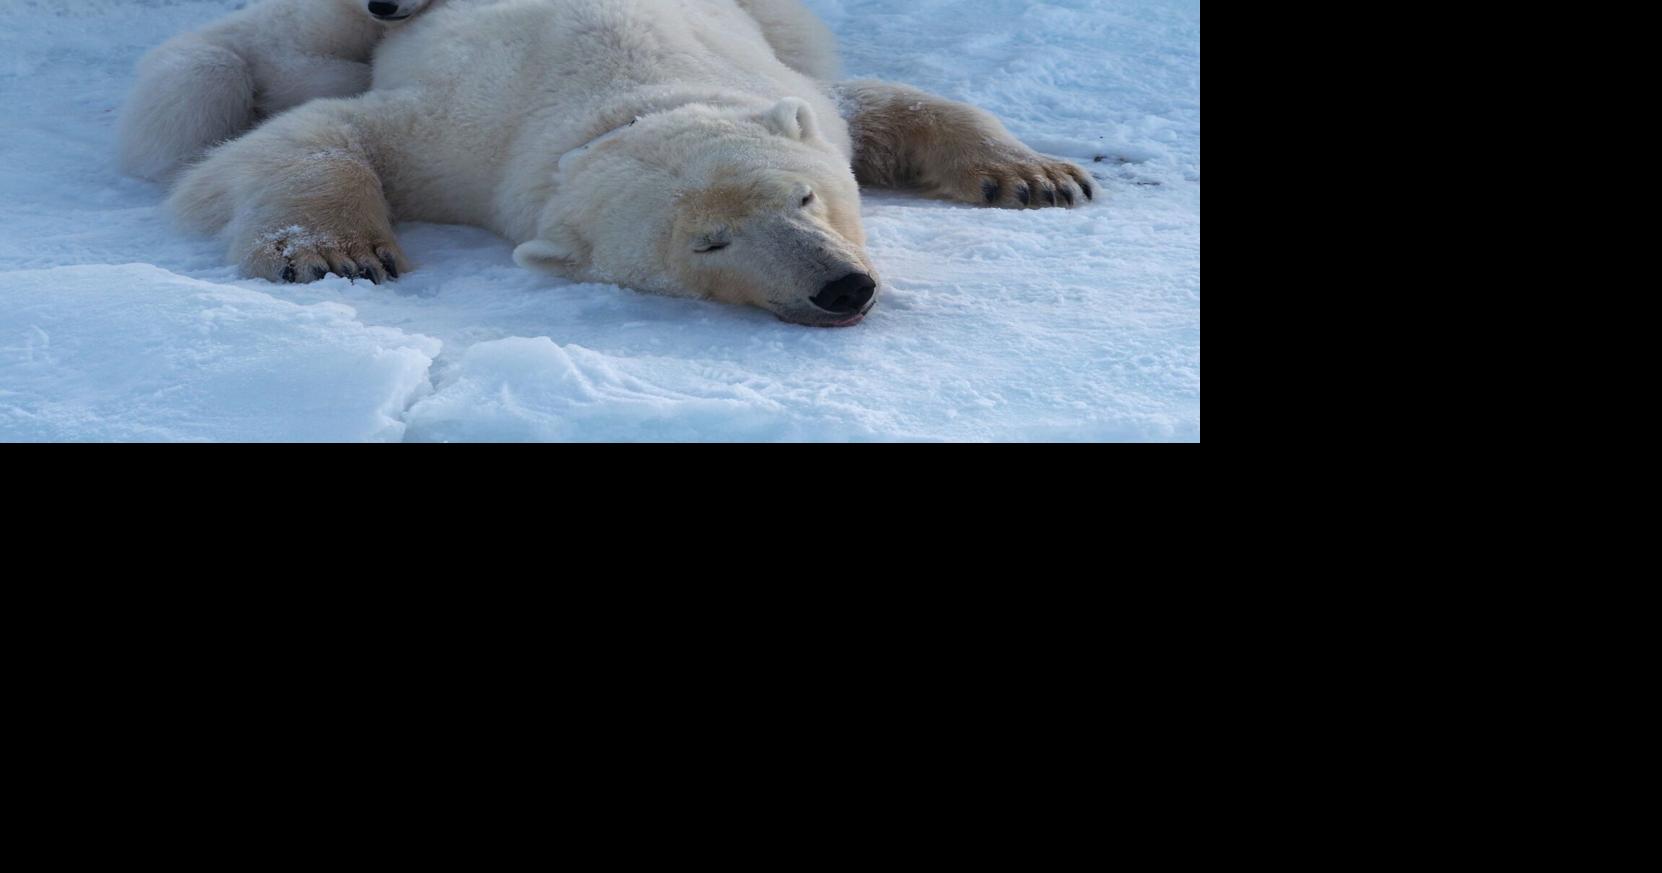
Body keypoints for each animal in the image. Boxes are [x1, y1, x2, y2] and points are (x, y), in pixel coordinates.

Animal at [167, 0, 1093, 326]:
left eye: (804, 198)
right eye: (708, 244)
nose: (841, 288)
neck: (625, 84)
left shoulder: (776, 79)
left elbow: (875, 105)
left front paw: (1039, 176)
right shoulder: (468, 134)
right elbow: (319, 133)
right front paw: (337, 254)